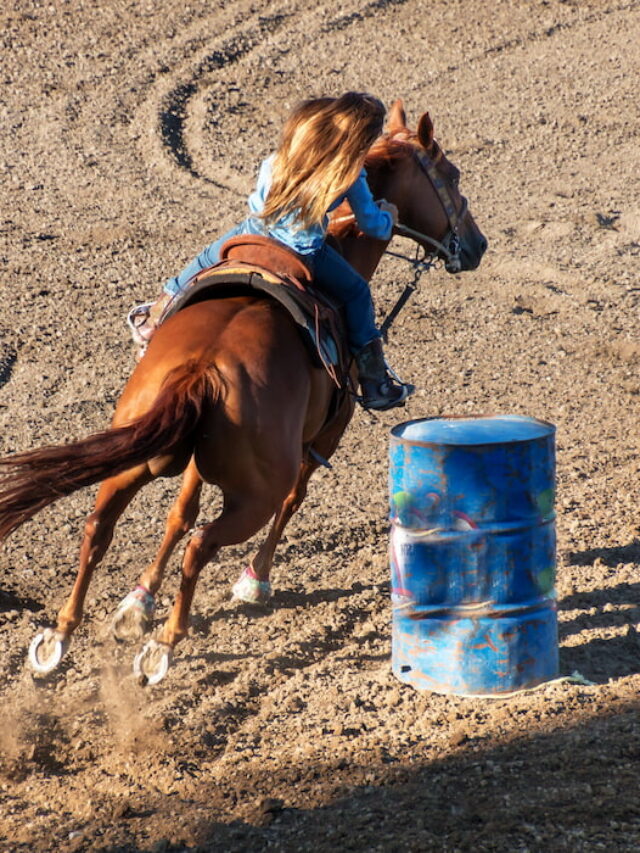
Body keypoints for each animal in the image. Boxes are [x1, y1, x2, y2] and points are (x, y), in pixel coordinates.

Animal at [0, 100, 487, 684]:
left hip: (134, 458)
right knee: (204, 542)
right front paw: (254, 582)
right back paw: (163, 646)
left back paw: (59, 638)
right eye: (451, 175)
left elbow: (179, 510)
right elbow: (292, 498)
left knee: (100, 527)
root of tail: (201, 369)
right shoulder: (322, 438)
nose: (478, 245)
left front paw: (136, 603)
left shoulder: (196, 460)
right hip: (257, 492)